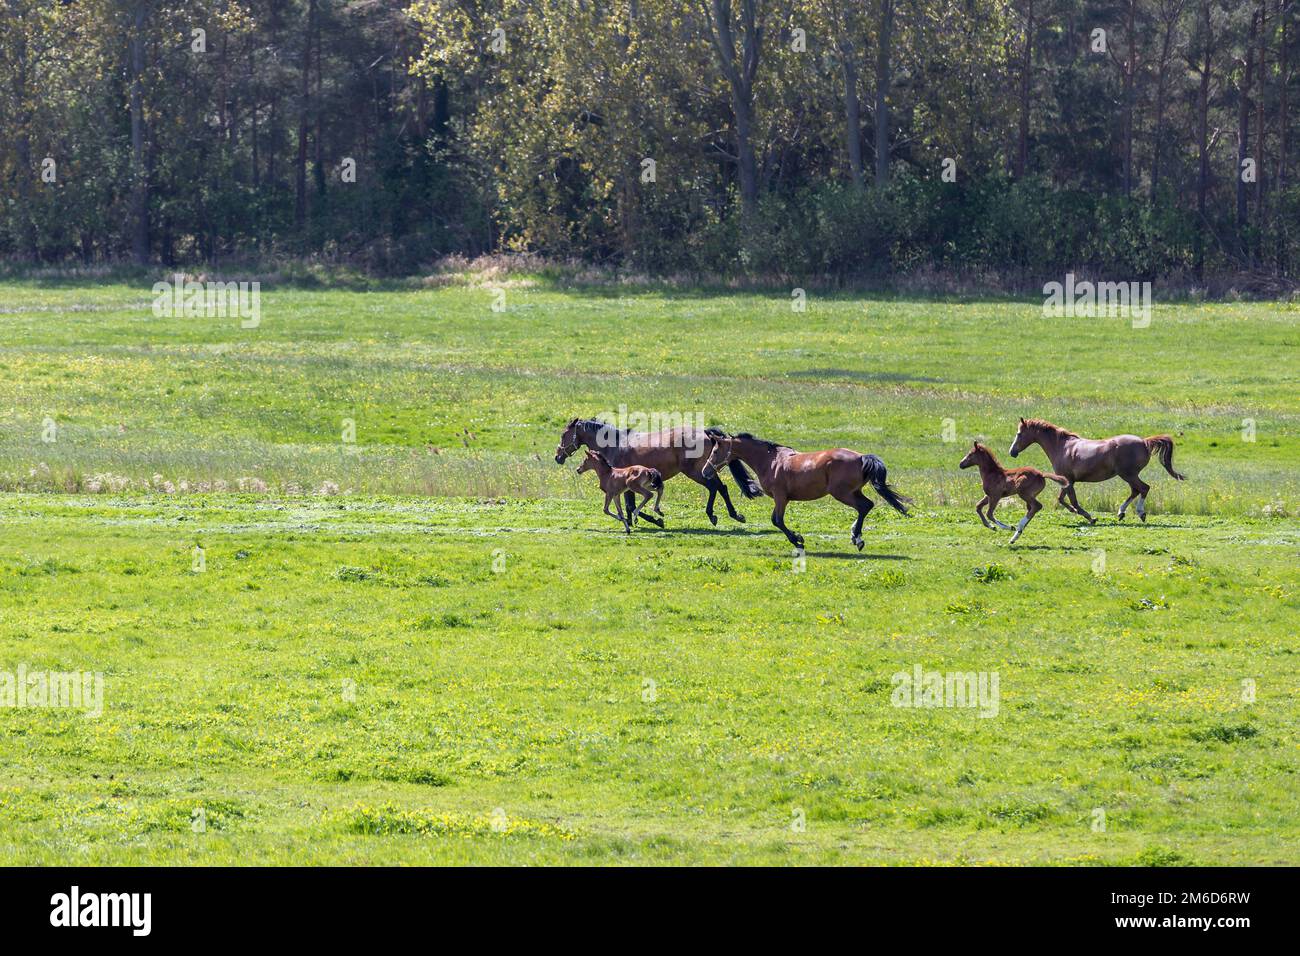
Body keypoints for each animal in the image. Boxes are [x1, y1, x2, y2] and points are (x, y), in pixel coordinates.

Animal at [554, 418, 761, 528]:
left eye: (564, 434)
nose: (557, 456)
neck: (615, 444)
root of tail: (705, 432)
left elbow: (632, 506)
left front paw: (654, 520)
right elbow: (630, 506)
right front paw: (633, 522)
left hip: (696, 472)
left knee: (714, 488)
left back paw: (712, 515)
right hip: (706, 470)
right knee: (722, 487)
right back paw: (735, 515)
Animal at [702, 432, 910, 551]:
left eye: (715, 451)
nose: (705, 471)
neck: (771, 461)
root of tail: (862, 457)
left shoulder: (781, 497)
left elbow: (777, 521)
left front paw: (798, 541)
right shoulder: (781, 499)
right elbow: (776, 520)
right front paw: (797, 538)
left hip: (842, 493)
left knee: (864, 506)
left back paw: (857, 538)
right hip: (853, 492)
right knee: (867, 505)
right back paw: (855, 535)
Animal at [1007, 417, 1186, 524]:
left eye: (1019, 433)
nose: (1012, 452)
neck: (1062, 447)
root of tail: (1144, 442)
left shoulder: (1068, 480)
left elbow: (1071, 500)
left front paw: (1089, 517)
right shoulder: (1068, 480)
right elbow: (1062, 499)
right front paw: (1076, 512)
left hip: (1128, 474)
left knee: (1143, 488)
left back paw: (1140, 513)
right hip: (1129, 475)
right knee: (1136, 491)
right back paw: (1121, 513)